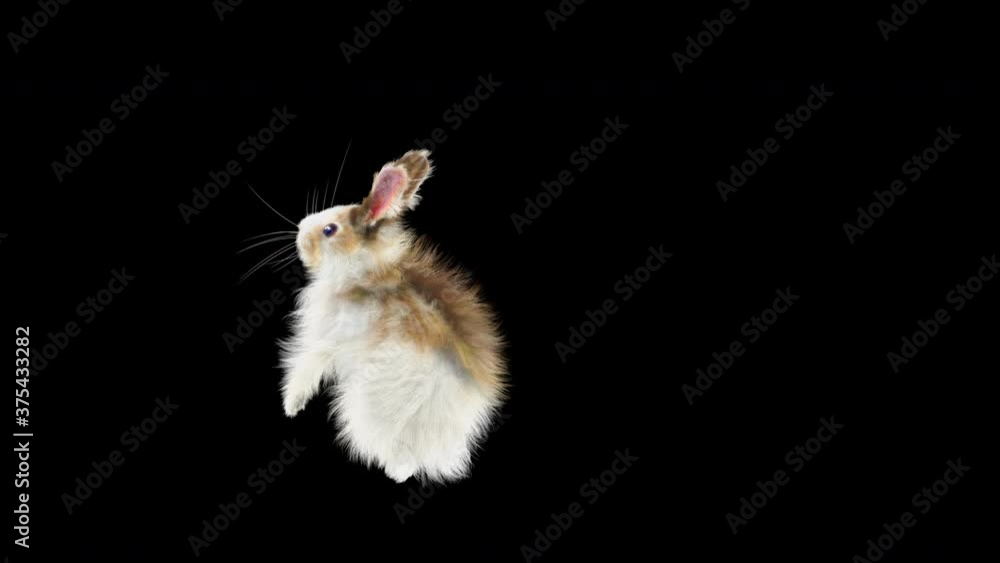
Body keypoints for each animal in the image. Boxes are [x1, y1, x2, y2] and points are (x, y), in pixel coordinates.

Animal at [279, 149, 507, 484]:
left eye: (330, 229)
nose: (299, 230)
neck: (359, 272)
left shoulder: (328, 339)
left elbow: (306, 365)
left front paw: (291, 405)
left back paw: (395, 472)